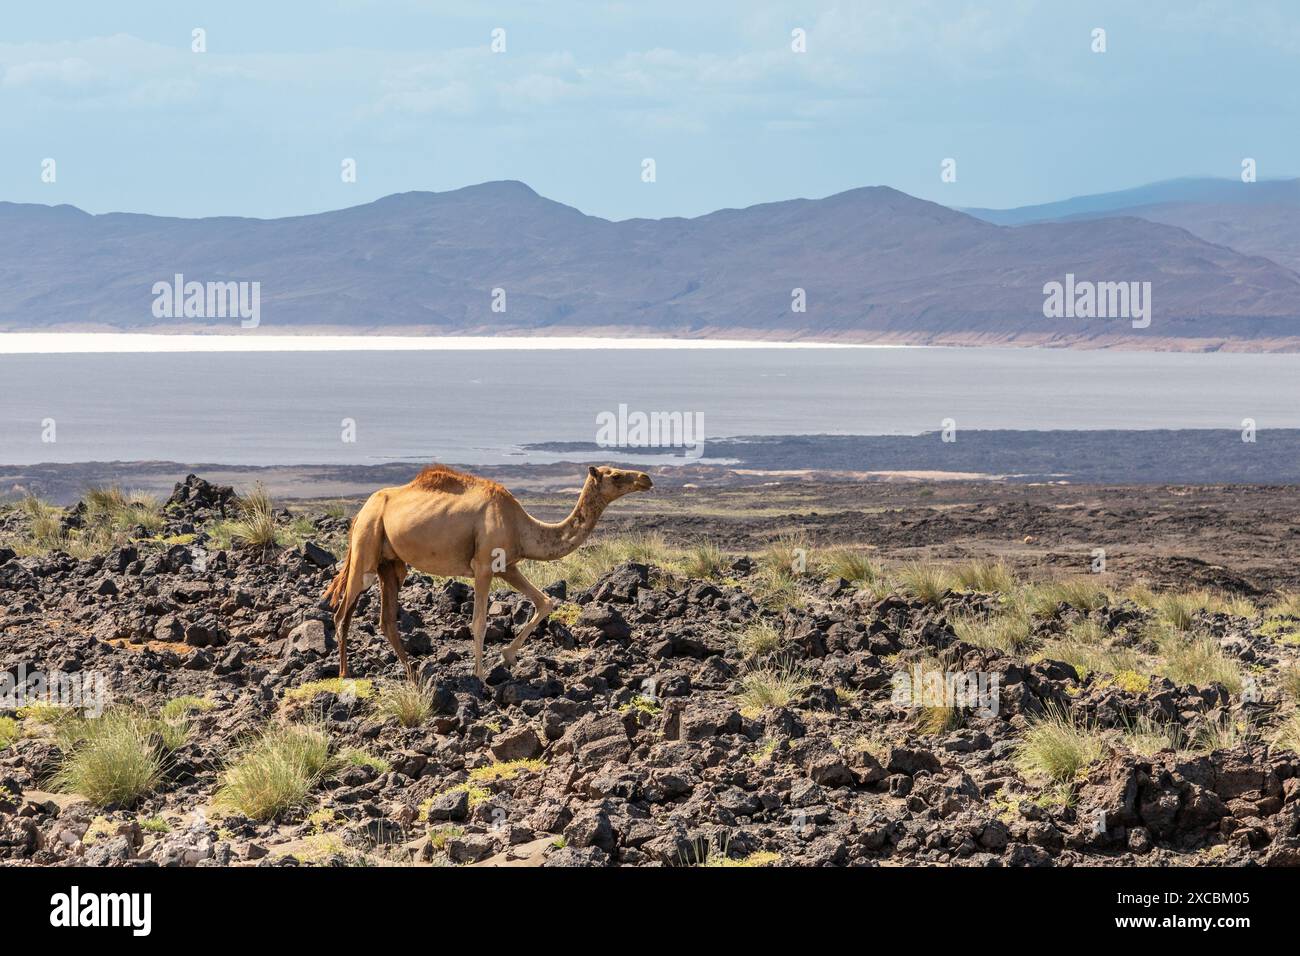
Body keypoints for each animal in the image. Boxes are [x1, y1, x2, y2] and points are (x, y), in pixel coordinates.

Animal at [324, 464, 653, 681]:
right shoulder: (483, 566)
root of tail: (360, 512)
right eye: (615, 475)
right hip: (367, 545)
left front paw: (508, 657)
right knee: (342, 612)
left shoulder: (507, 566)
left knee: (386, 619)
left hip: (391, 564)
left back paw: (412, 673)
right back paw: (344, 674)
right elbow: (479, 622)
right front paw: (480, 676)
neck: (521, 526)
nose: (646, 478)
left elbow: (545, 601)